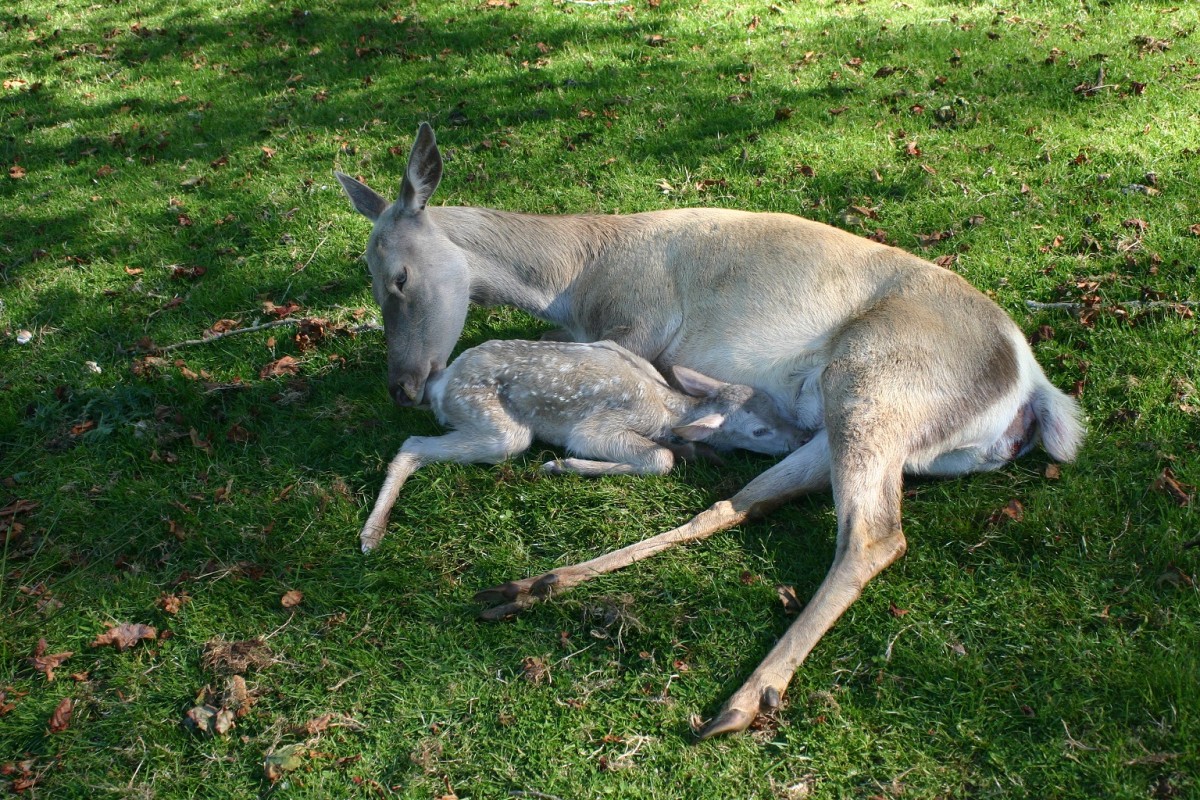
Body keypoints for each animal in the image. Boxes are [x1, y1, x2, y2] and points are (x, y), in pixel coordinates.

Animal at [358, 337, 805, 553]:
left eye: (772, 402)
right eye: (759, 432)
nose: (800, 438)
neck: (669, 407)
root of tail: (441, 387)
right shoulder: (600, 428)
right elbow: (659, 457)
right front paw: (563, 465)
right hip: (498, 429)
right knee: (412, 443)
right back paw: (370, 535)